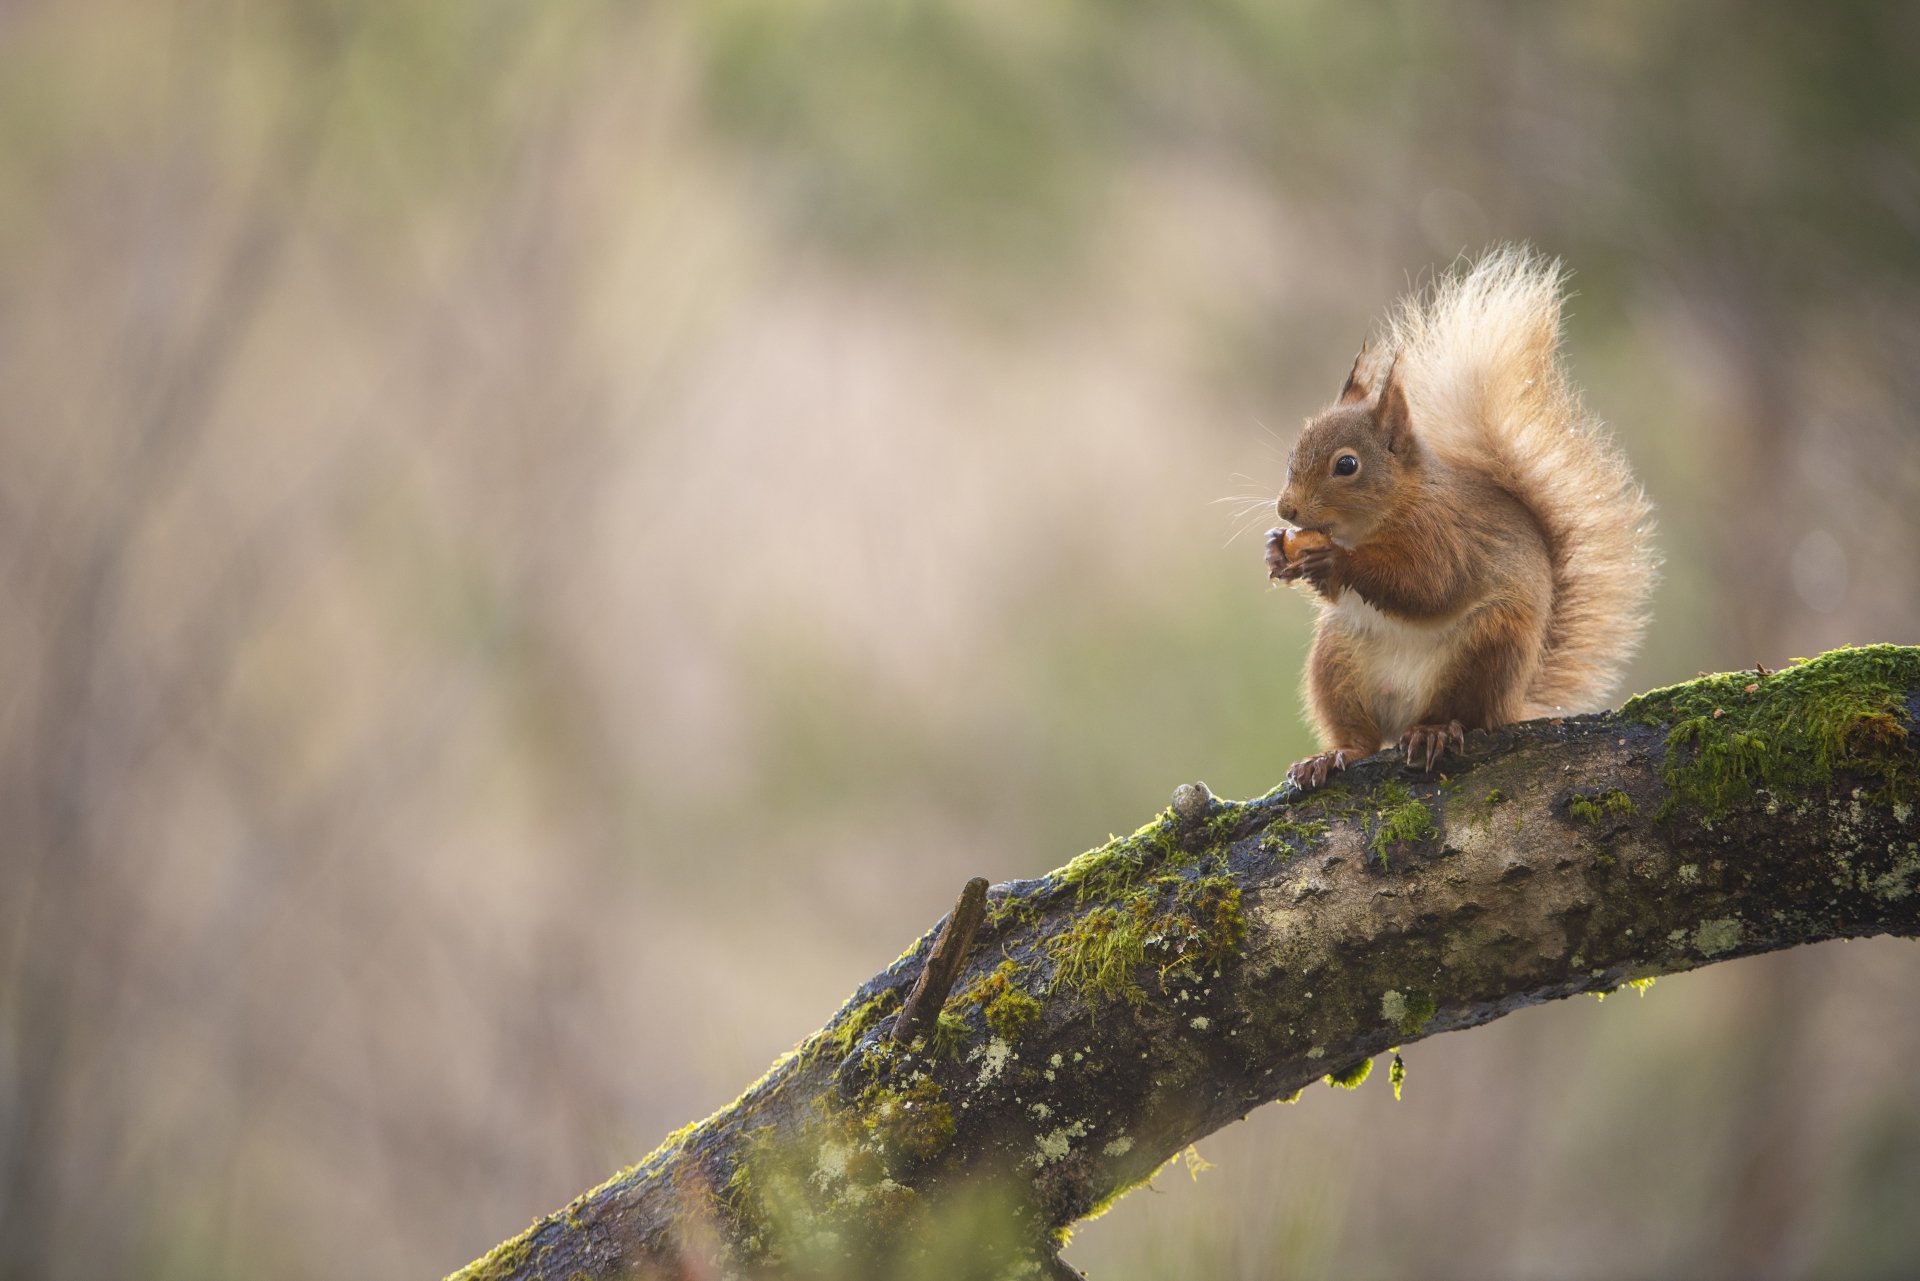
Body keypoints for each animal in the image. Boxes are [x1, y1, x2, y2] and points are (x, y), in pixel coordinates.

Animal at [1265, 246, 1658, 790]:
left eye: (1346, 465)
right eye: (1291, 454)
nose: (1288, 509)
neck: (1373, 521)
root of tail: (1511, 703)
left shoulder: (1444, 535)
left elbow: (1428, 585)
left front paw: (1334, 561)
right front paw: (1277, 552)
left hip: (1486, 648)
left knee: (1463, 716)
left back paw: (1433, 730)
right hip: (1337, 662)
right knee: (1361, 738)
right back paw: (1333, 754)